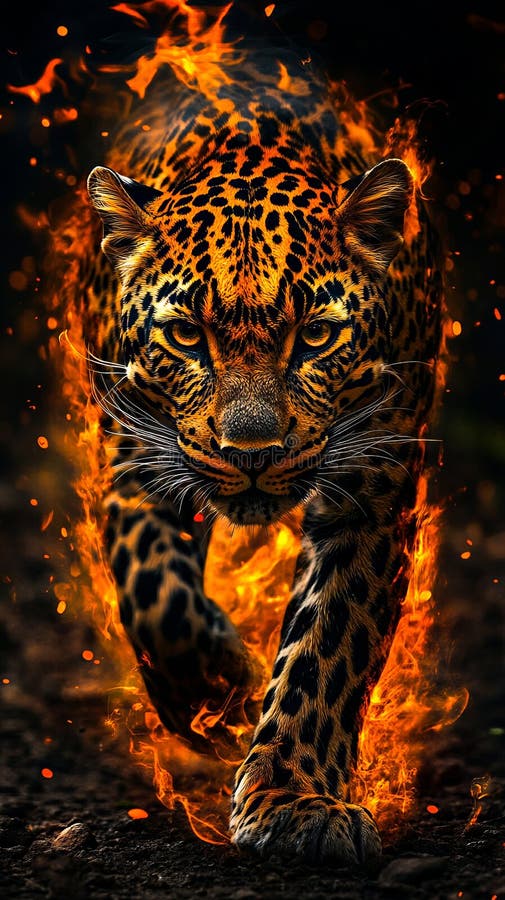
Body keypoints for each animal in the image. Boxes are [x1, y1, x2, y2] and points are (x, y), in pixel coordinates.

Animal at [83, 47, 442, 865]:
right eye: (186, 335)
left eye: (315, 335)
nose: (252, 450)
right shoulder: (137, 454)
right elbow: (157, 598)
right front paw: (219, 693)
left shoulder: (374, 483)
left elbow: (329, 642)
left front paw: (295, 801)